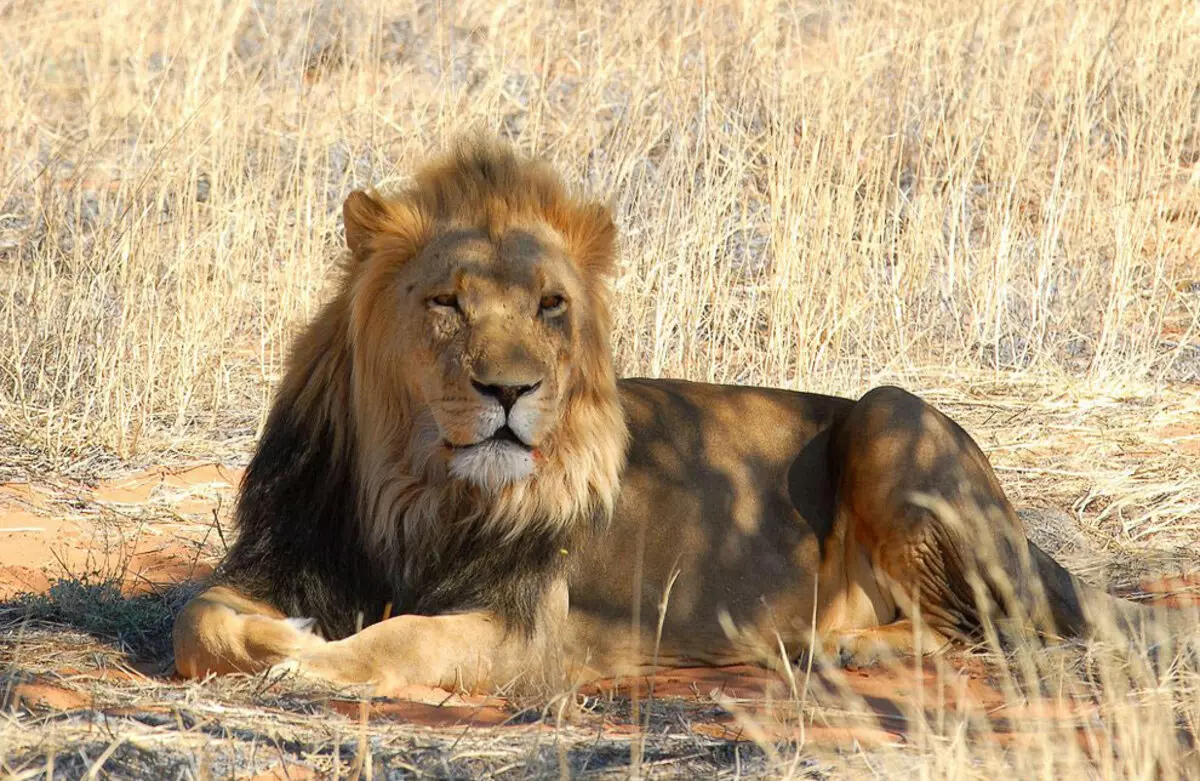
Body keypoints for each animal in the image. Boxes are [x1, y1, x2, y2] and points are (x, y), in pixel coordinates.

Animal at [174, 140, 1185, 695]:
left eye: (550, 306)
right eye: (448, 303)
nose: (510, 392)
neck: (416, 487)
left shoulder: (527, 627)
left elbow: (405, 636)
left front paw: (307, 659)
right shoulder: (285, 556)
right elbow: (200, 615)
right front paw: (287, 635)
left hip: (890, 413)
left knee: (986, 632)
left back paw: (844, 646)